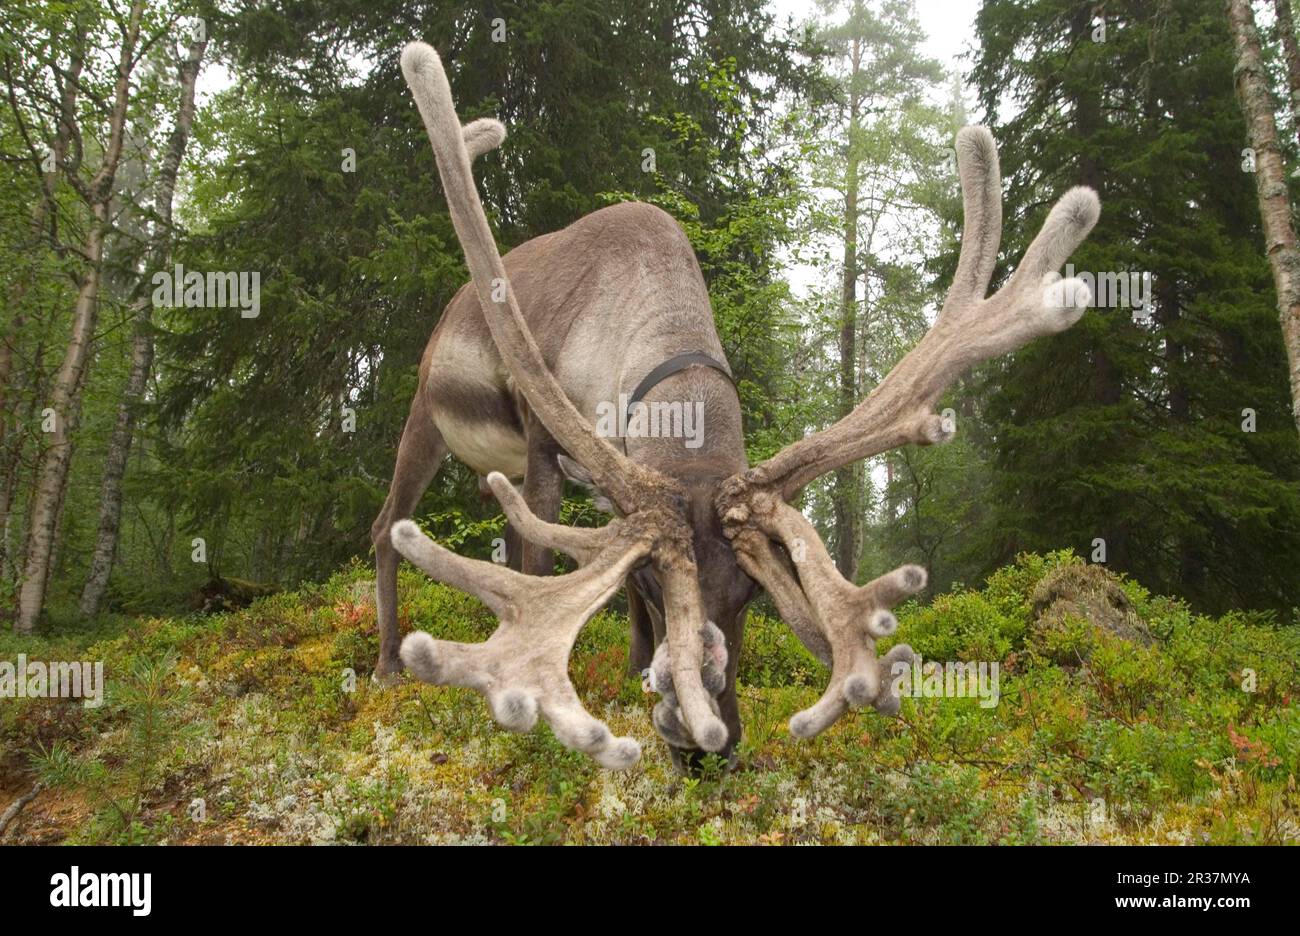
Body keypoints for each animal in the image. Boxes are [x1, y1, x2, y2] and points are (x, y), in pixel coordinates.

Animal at [371, 41, 1100, 772]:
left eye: (752, 591)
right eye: (661, 586)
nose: (706, 751)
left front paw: (633, 670)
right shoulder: (548, 441)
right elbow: (546, 564)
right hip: (426, 413)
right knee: (387, 525)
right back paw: (388, 664)